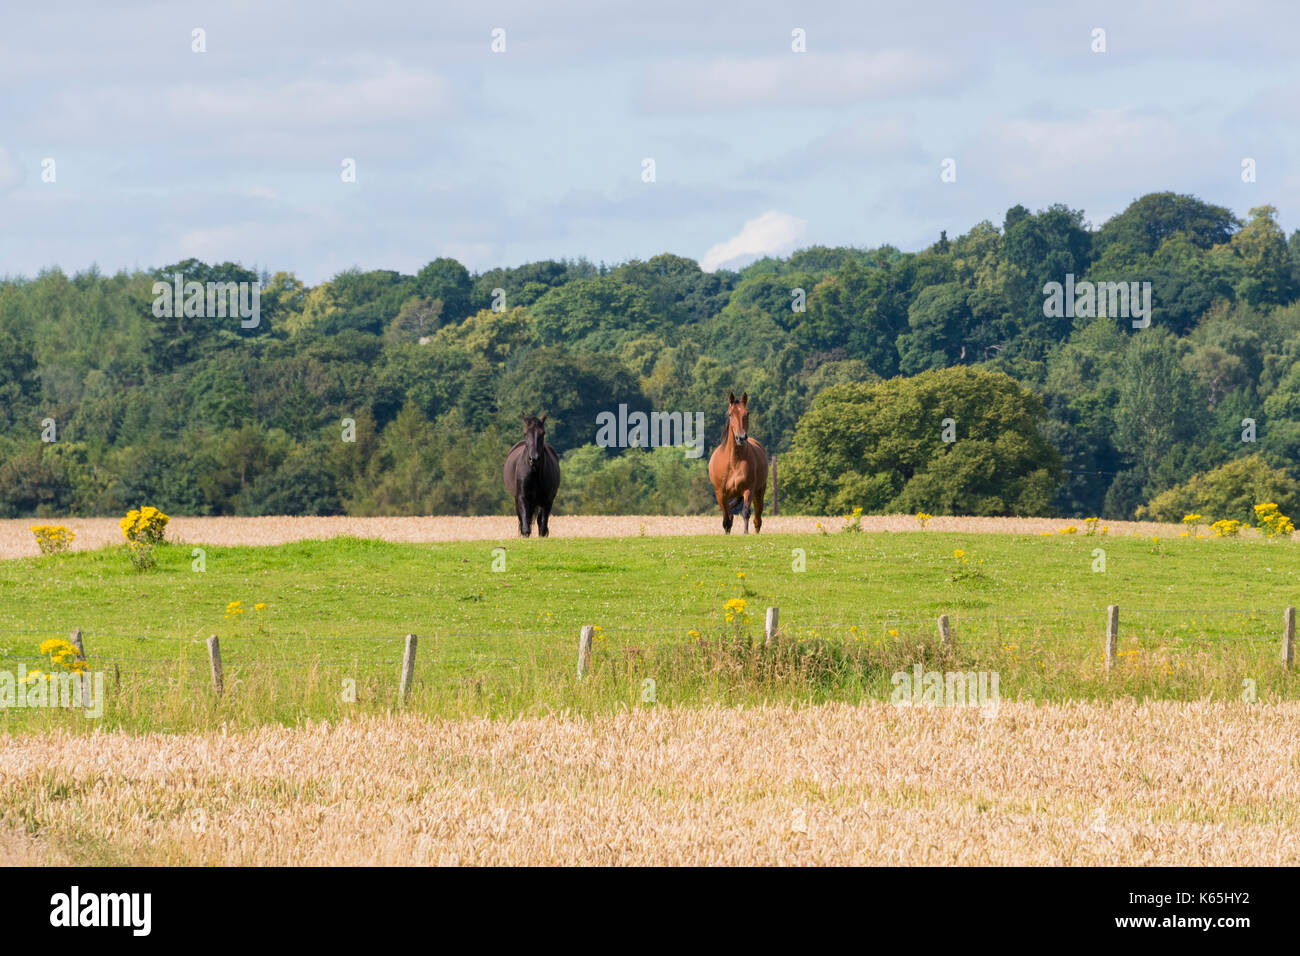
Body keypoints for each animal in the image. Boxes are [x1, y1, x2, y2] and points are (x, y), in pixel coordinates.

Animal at [708, 391, 768, 534]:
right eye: (730, 414)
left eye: (747, 413)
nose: (741, 437)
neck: (733, 462)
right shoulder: (720, 494)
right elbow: (726, 520)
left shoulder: (748, 489)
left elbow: (745, 513)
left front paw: (745, 533)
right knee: (730, 516)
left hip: (759, 492)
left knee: (757, 519)